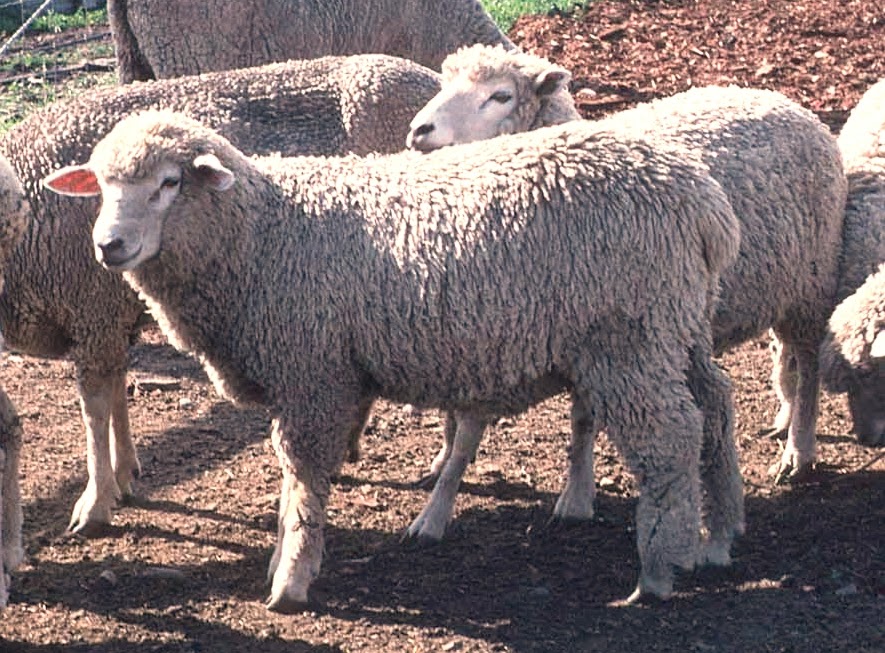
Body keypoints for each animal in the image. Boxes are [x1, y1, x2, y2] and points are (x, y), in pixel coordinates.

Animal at [0, 54, 441, 536]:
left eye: (169, 184)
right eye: (98, 184)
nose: (107, 245)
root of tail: (430, 78)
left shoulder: (93, 310)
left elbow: (95, 411)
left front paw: (95, 502)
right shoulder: (110, 314)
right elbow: (117, 393)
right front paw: (124, 473)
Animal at [44, 109, 742, 609]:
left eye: (168, 183)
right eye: (99, 186)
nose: (109, 246)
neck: (262, 233)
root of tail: (704, 202)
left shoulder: (314, 372)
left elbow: (301, 475)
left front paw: (291, 577)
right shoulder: (304, 376)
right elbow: (289, 479)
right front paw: (283, 554)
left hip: (630, 339)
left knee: (673, 438)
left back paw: (660, 568)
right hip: (676, 326)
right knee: (716, 404)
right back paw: (716, 536)